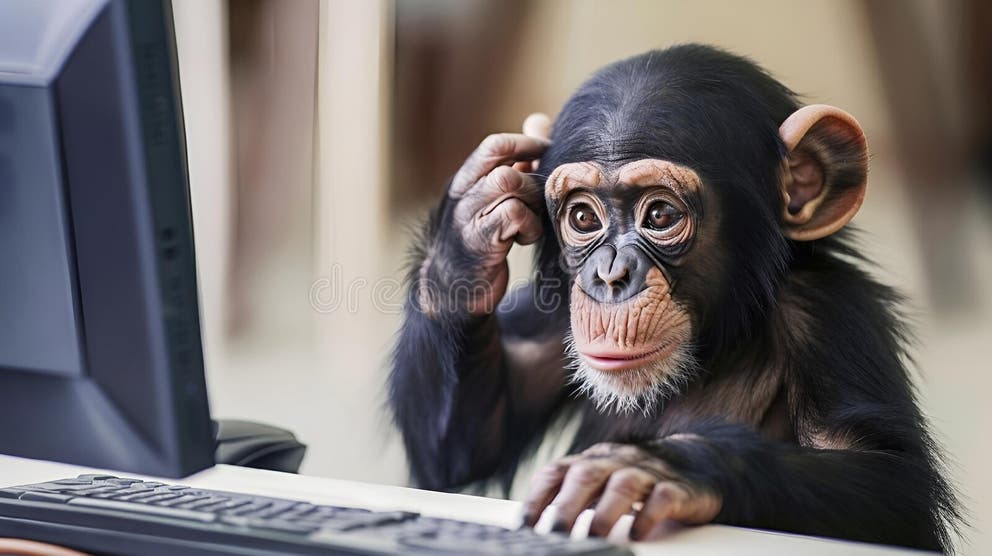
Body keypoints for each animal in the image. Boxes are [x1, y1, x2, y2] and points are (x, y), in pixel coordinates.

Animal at [388, 44, 960, 552]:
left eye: (660, 215)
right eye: (583, 217)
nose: (610, 276)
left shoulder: (831, 313)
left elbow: (892, 482)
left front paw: (659, 466)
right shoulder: (549, 314)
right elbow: (469, 445)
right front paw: (469, 228)